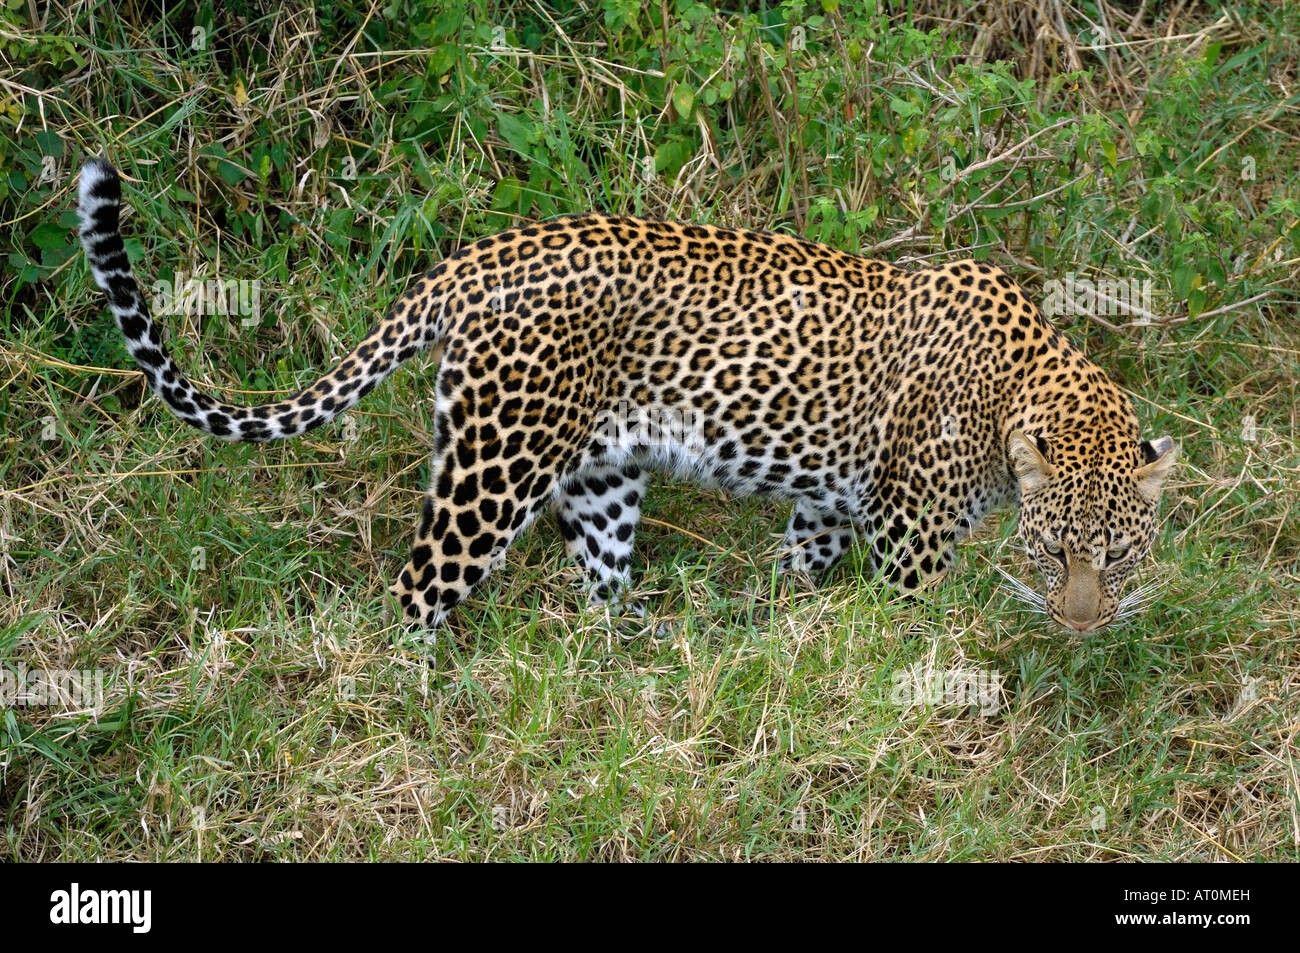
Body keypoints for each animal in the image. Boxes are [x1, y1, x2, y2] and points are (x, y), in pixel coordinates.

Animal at [77, 157, 1177, 634]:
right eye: (1055, 550)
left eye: (1120, 553)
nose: (1084, 624)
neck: (1023, 387)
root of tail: (475, 258)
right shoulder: (910, 534)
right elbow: (906, 621)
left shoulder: (832, 503)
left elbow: (800, 563)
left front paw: (776, 629)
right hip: (496, 463)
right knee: (417, 585)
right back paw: (421, 696)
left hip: (601, 474)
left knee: (598, 581)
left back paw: (628, 652)